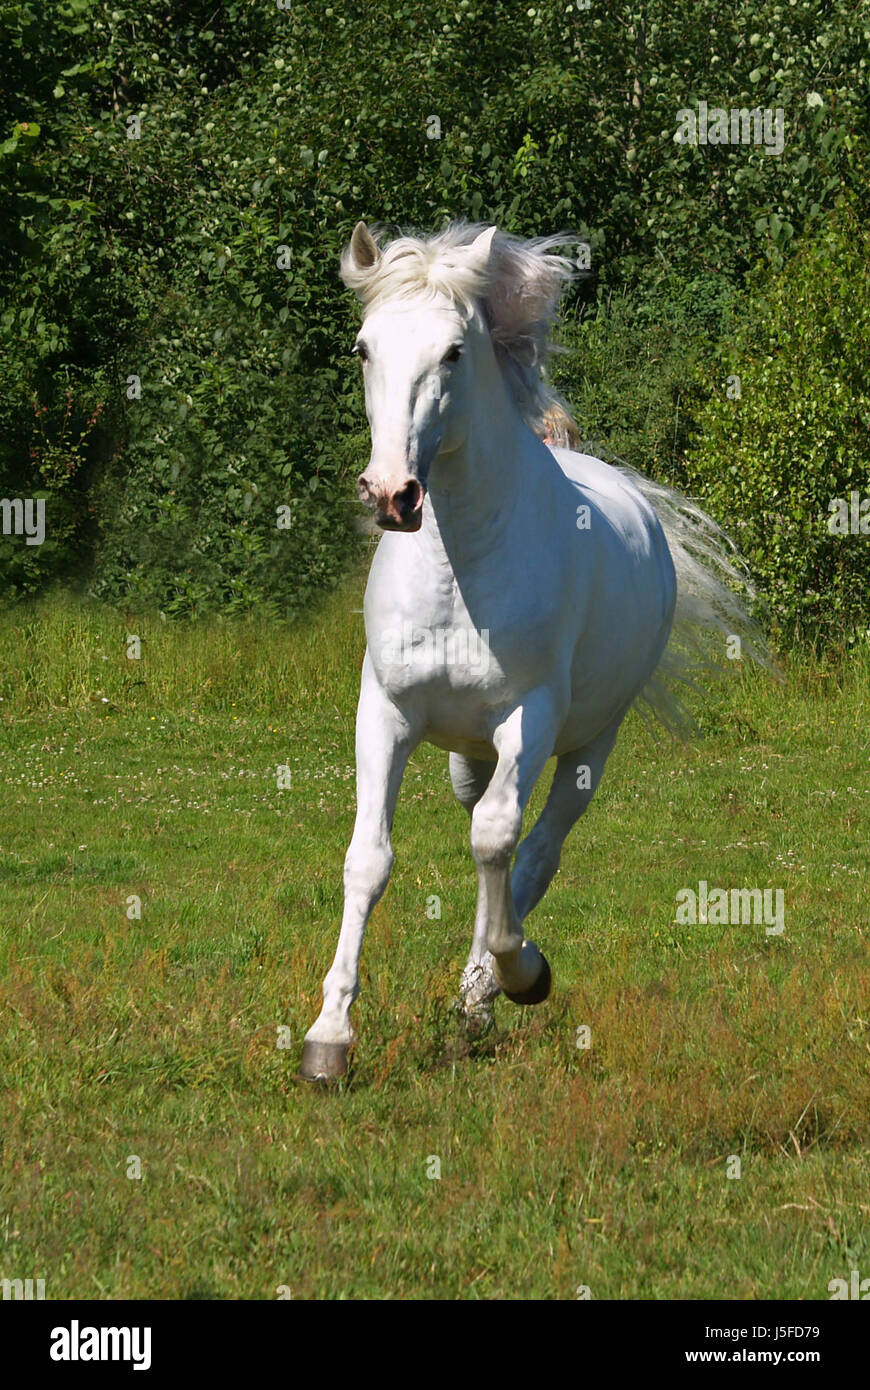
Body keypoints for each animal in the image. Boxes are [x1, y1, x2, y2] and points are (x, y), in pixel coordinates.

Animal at [299, 220, 765, 1082]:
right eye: (362, 347)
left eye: (453, 352)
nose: (392, 494)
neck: (460, 567)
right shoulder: (384, 712)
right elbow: (369, 859)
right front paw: (328, 1038)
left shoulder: (533, 715)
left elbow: (498, 841)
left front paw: (519, 974)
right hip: (466, 749)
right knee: (485, 830)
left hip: (588, 744)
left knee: (532, 848)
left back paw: (489, 989)